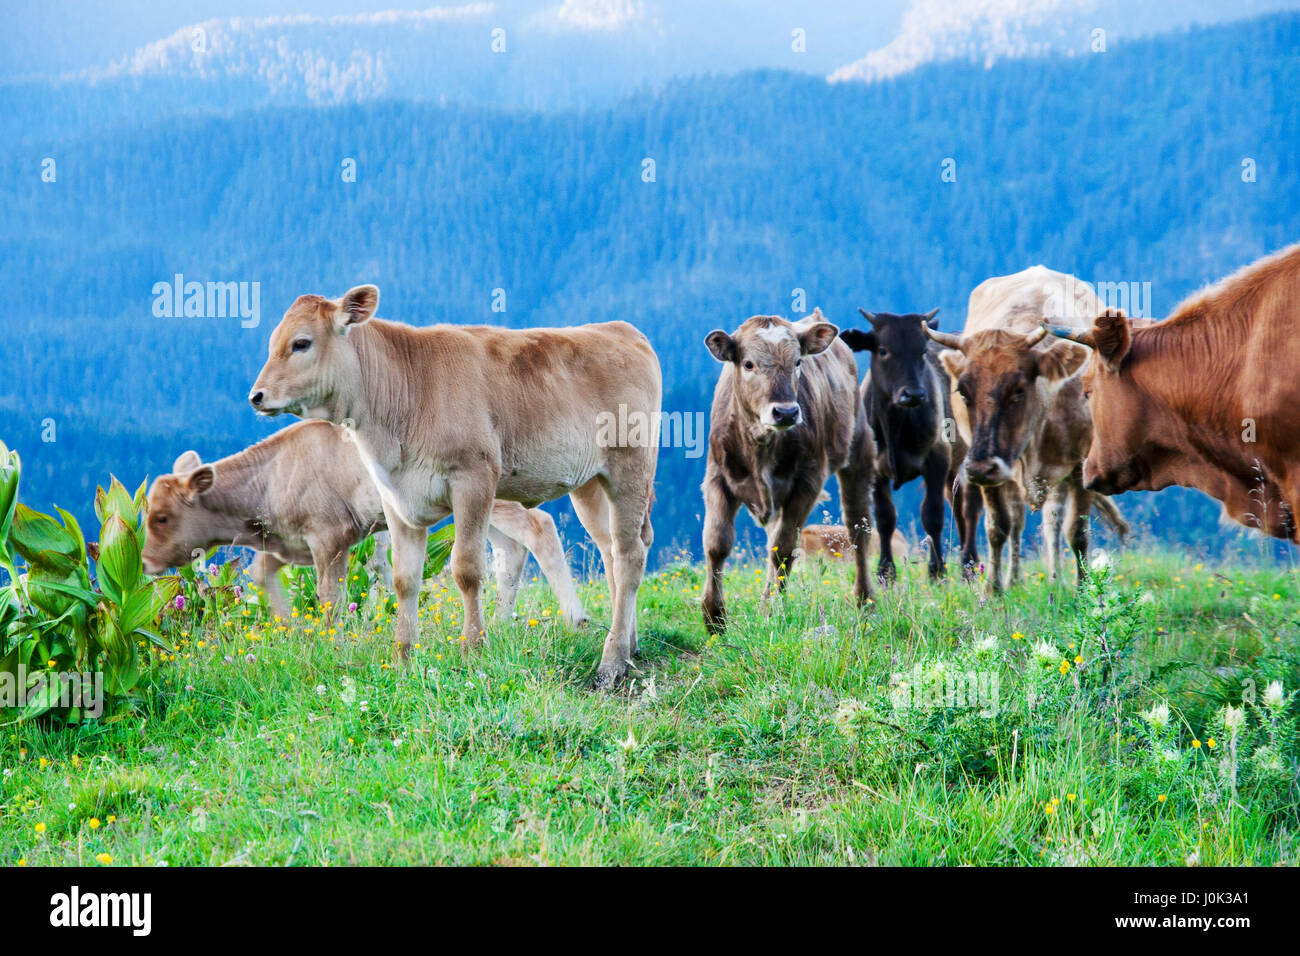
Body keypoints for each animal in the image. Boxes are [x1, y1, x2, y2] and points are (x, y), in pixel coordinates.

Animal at [140, 420, 590, 626]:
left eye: (162, 516)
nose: (145, 561)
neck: (271, 476)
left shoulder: (330, 537)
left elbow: (330, 595)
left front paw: (331, 640)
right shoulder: (288, 544)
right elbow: (260, 573)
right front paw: (292, 629)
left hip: (493, 497)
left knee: (539, 527)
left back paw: (575, 617)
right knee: (509, 549)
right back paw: (497, 623)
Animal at [248, 285, 659, 689]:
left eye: (301, 343)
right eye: (271, 342)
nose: (257, 395)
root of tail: (621, 330)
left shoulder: (474, 477)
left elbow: (467, 569)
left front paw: (473, 649)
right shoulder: (395, 498)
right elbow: (405, 579)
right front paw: (403, 660)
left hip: (631, 467)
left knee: (629, 555)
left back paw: (611, 664)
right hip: (590, 484)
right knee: (610, 550)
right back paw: (629, 646)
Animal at [701, 309, 876, 633]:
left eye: (797, 362)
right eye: (748, 363)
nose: (785, 412)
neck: (760, 442)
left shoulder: (807, 481)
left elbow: (782, 549)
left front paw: (770, 610)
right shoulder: (717, 476)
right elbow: (717, 543)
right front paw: (714, 617)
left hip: (858, 452)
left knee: (858, 529)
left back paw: (864, 600)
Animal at [840, 308, 977, 581]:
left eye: (922, 351)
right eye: (883, 350)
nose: (913, 394)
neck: (895, 425)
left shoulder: (937, 458)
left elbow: (932, 515)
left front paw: (937, 571)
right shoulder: (876, 469)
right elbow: (885, 518)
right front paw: (885, 572)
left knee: (970, 508)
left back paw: (971, 564)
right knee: (959, 508)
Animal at [925, 266, 1128, 593]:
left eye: (1018, 390)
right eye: (963, 392)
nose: (981, 466)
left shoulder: (1081, 461)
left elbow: (1077, 531)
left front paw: (1083, 590)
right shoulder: (990, 469)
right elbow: (998, 526)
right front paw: (993, 590)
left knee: (1053, 521)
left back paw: (1056, 578)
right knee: (1019, 520)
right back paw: (1016, 578)